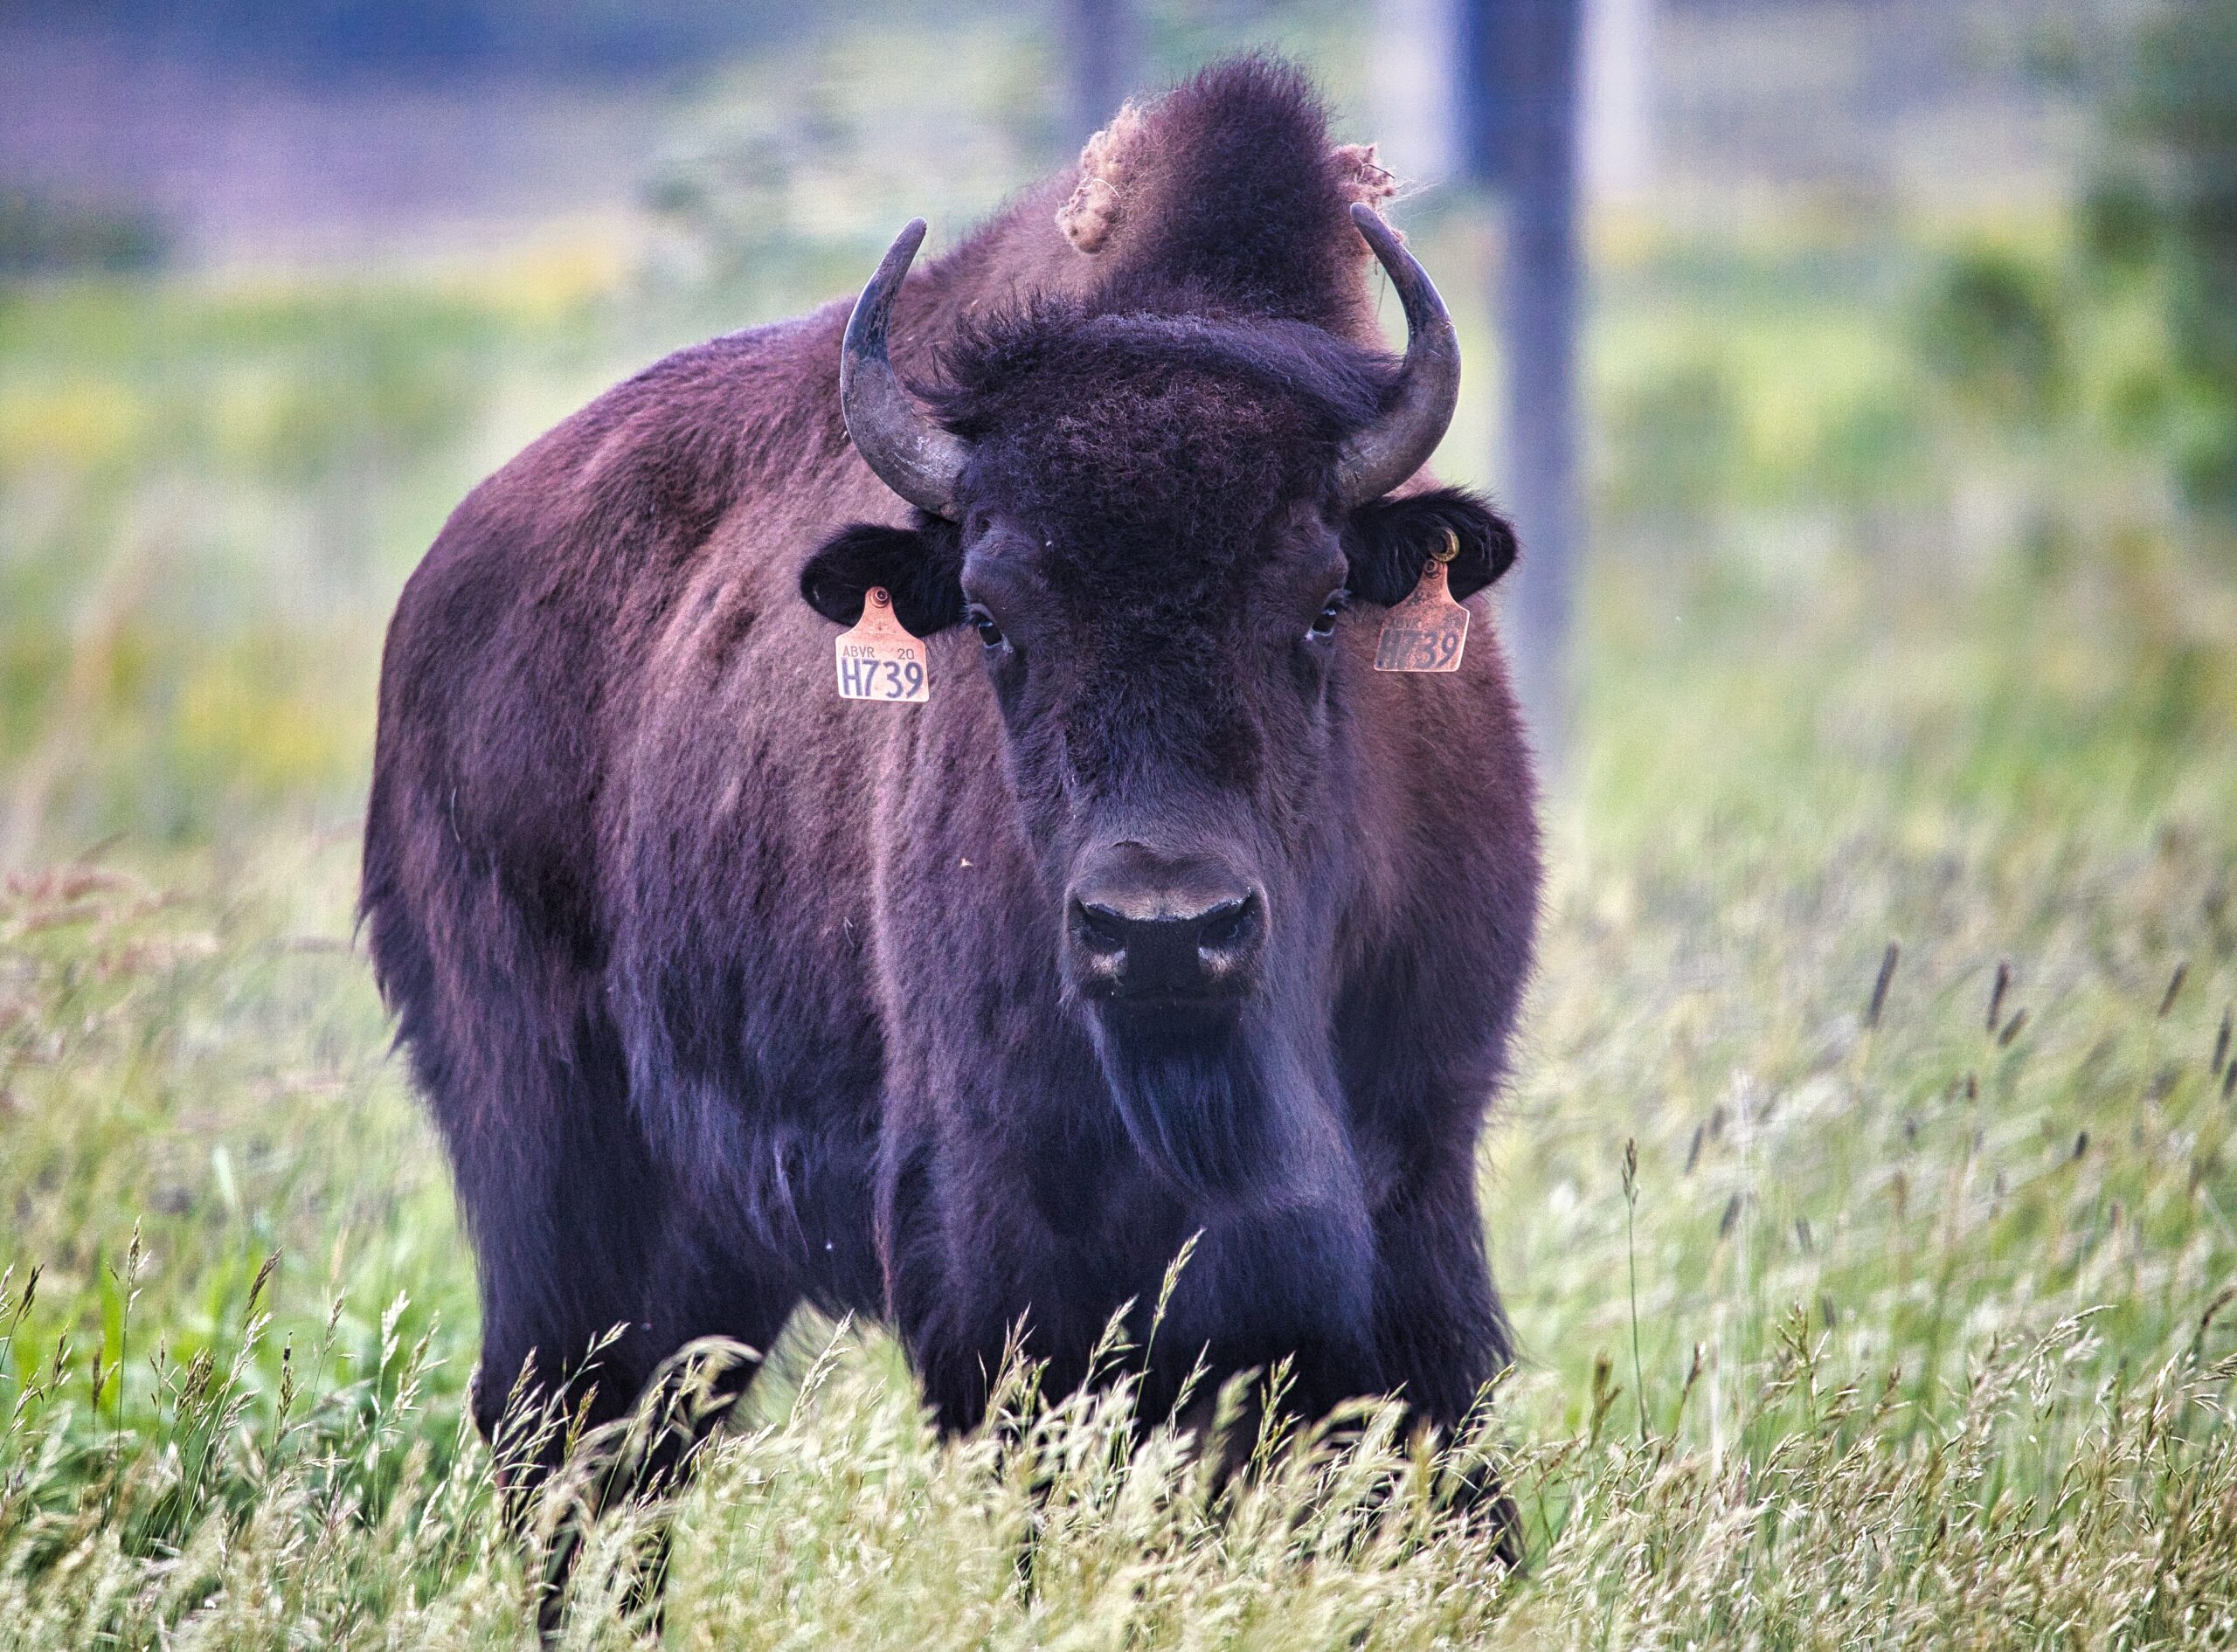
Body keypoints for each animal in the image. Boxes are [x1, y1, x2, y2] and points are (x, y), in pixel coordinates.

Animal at [362, 55, 1540, 1524]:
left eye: (1323, 604)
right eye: (989, 614)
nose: (1163, 931)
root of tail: (436, 592)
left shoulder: (1417, 1195)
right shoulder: (1001, 1254)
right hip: (555, 1171)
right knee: (563, 1442)